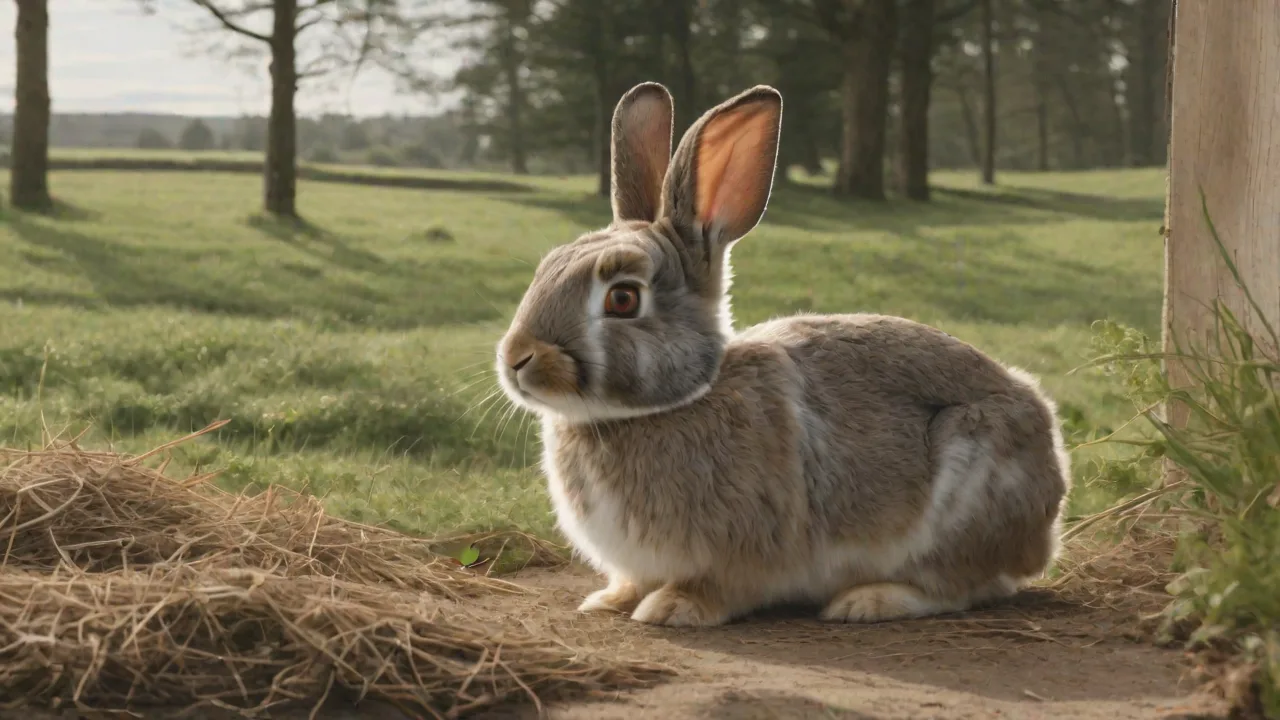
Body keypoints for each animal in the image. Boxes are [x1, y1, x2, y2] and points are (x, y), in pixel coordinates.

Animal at [494, 81, 1072, 627]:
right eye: (548, 266)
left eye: (622, 299)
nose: (517, 357)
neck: (674, 401)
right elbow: (632, 582)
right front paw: (609, 601)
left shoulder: (740, 550)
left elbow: (717, 587)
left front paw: (674, 608)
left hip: (969, 485)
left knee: (965, 584)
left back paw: (868, 601)